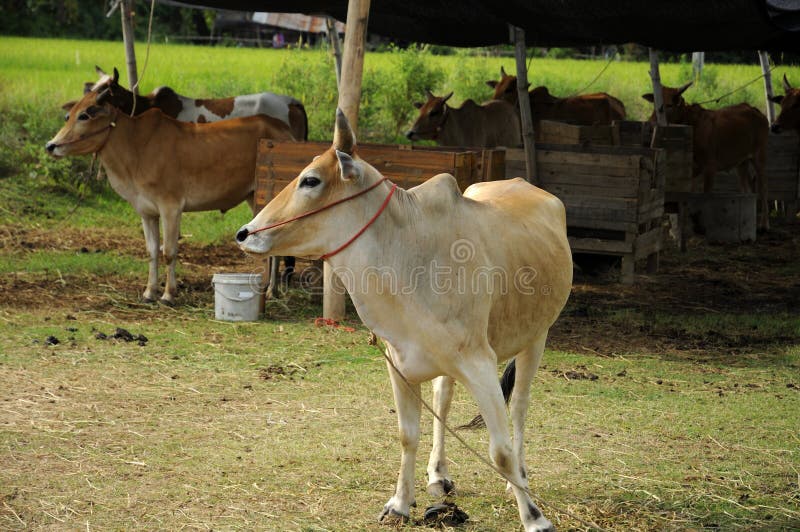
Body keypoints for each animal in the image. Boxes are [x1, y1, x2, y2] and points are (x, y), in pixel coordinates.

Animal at [46, 76, 295, 304]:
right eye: (68, 116)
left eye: (85, 115)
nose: (51, 146)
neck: (135, 146)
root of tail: (285, 131)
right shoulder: (147, 212)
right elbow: (152, 251)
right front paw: (149, 293)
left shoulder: (171, 207)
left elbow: (168, 252)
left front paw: (168, 294)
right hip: (255, 198)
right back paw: (271, 289)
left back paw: (272, 291)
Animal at [236, 109, 573, 532]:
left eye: (310, 180)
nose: (244, 233)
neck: (410, 258)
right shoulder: (400, 364)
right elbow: (407, 435)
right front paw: (400, 503)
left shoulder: (480, 363)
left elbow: (501, 450)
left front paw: (534, 516)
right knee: (444, 398)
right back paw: (439, 473)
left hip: (536, 337)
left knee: (520, 408)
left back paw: (520, 479)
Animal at [642, 82, 770, 230]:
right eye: (654, 104)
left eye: (668, 105)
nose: (650, 123)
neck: (693, 126)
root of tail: (756, 111)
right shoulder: (694, 168)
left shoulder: (710, 167)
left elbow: (706, 194)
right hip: (741, 163)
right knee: (747, 190)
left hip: (759, 157)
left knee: (763, 188)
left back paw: (764, 224)